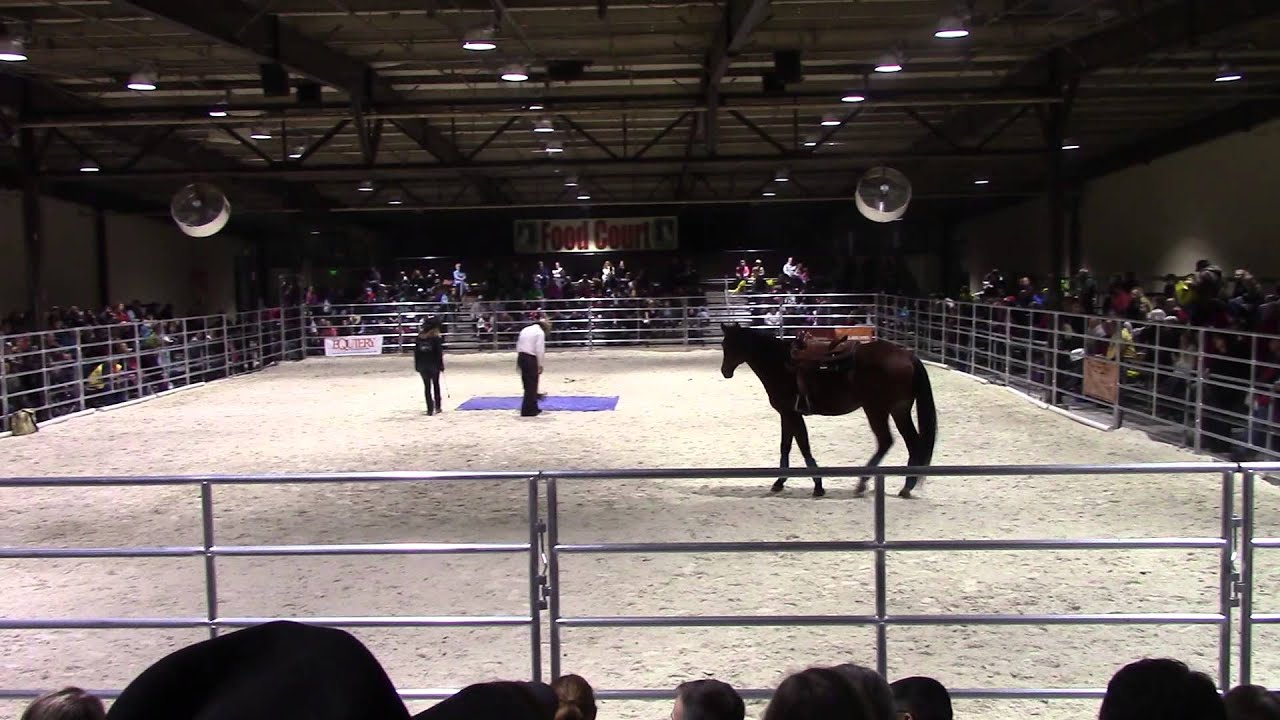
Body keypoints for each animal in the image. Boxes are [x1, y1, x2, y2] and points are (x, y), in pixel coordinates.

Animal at [718, 323, 937, 498]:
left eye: (728, 345)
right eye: (723, 344)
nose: (725, 371)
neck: (781, 365)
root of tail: (907, 355)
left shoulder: (792, 414)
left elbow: (803, 446)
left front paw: (817, 485)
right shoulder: (786, 414)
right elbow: (786, 446)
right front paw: (779, 482)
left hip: (876, 410)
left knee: (886, 441)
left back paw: (863, 483)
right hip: (899, 411)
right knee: (912, 443)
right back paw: (907, 486)